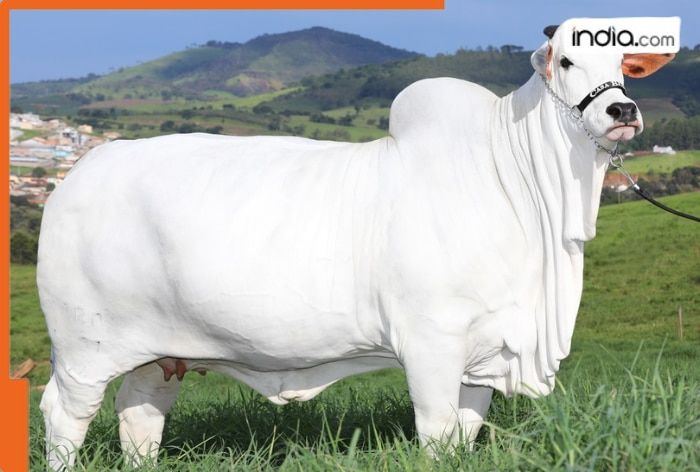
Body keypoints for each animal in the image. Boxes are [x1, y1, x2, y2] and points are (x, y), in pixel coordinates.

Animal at [37, 19, 673, 469]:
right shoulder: (432, 344)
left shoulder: (484, 354)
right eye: (566, 59)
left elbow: (464, 436)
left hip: (161, 353)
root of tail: (79, 173)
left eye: (624, 64)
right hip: (84, 348)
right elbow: (437, 435)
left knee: (139, 413)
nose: (622, 109)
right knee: (64, 415)